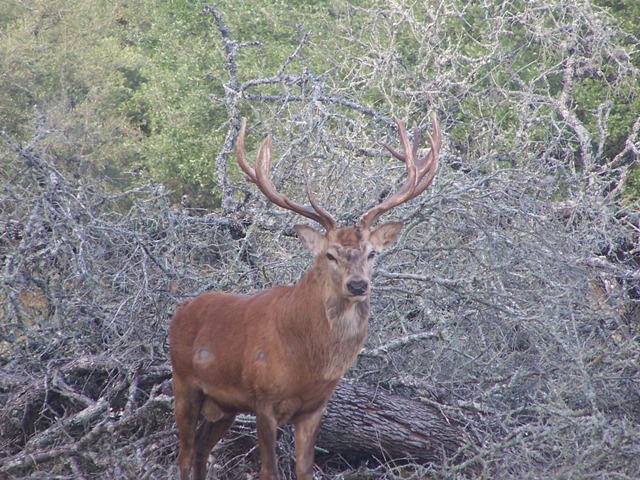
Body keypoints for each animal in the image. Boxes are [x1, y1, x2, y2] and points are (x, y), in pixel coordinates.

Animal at [169, 114, 441, 480]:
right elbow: (269, 471)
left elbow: (305, 470)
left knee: (200, 451)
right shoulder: (263, 399)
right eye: (330, 255)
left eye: (371, 253)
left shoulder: (314, 407)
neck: (306, 359)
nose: (358, 285)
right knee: (184, 454)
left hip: (223, 406)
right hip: (183, 381)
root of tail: (180, 311)